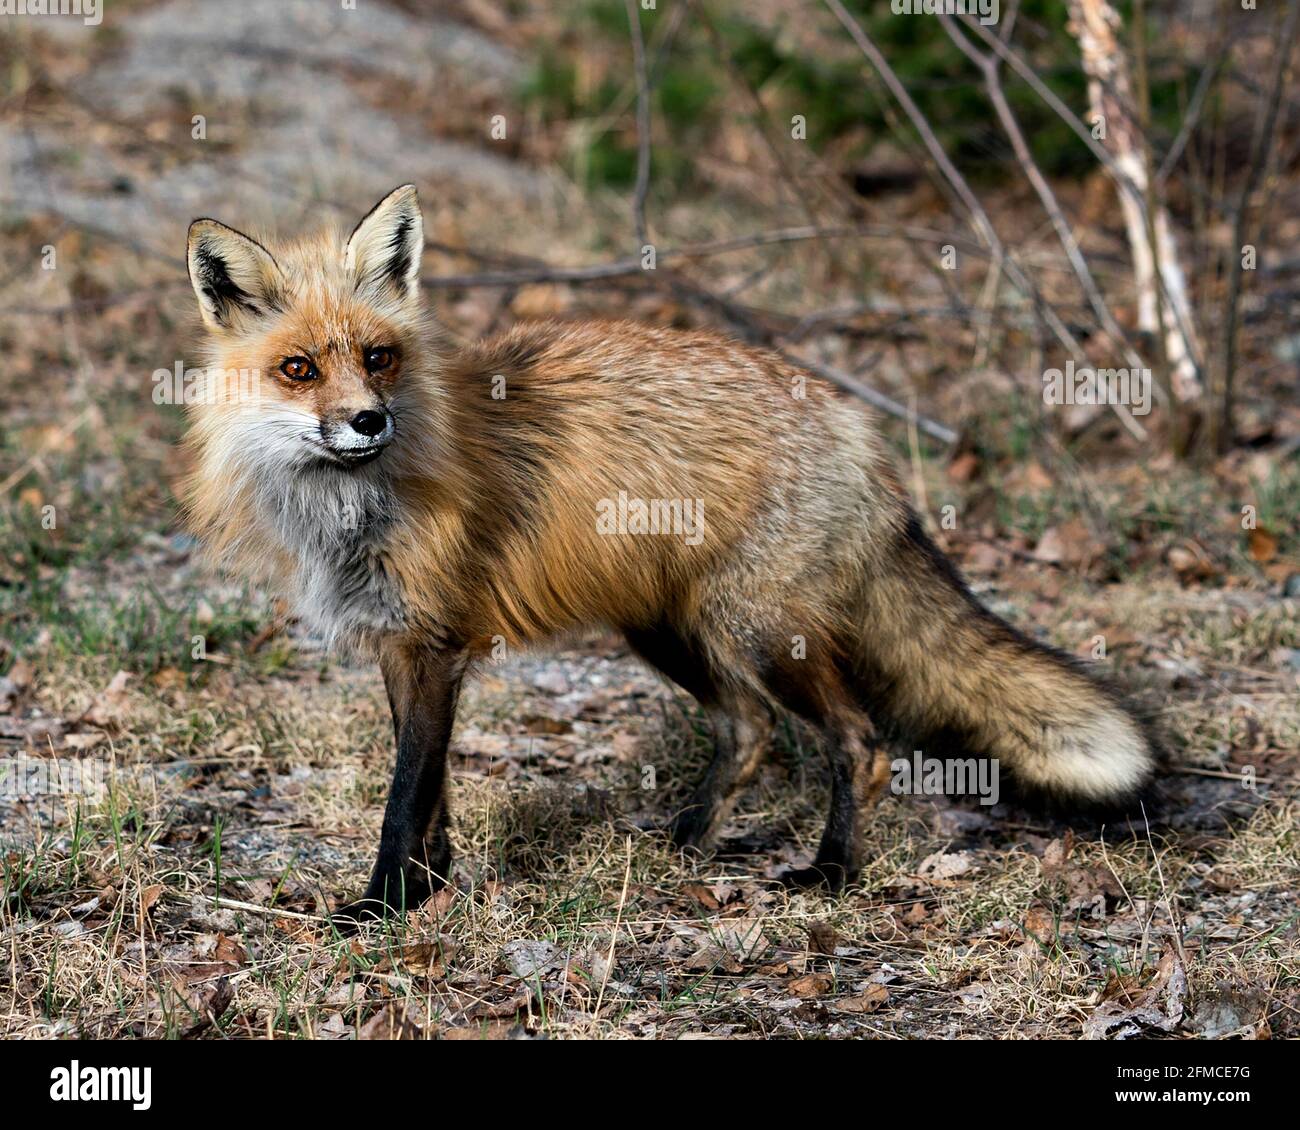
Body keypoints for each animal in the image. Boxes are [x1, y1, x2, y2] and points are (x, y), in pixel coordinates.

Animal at [182, 184, 1158, 927]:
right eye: (300, 368)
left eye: (380, 357)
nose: (369, 421)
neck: (356, 508)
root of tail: (855, 425)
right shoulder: (405, 648)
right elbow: (433, 796)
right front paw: (430, 891)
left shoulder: (434, 647)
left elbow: (402, 801)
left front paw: (383, 908)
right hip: (669, 628)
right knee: (749, 728)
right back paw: (688, 841)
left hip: (756, 630)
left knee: (859, 742)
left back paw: (831, 871)